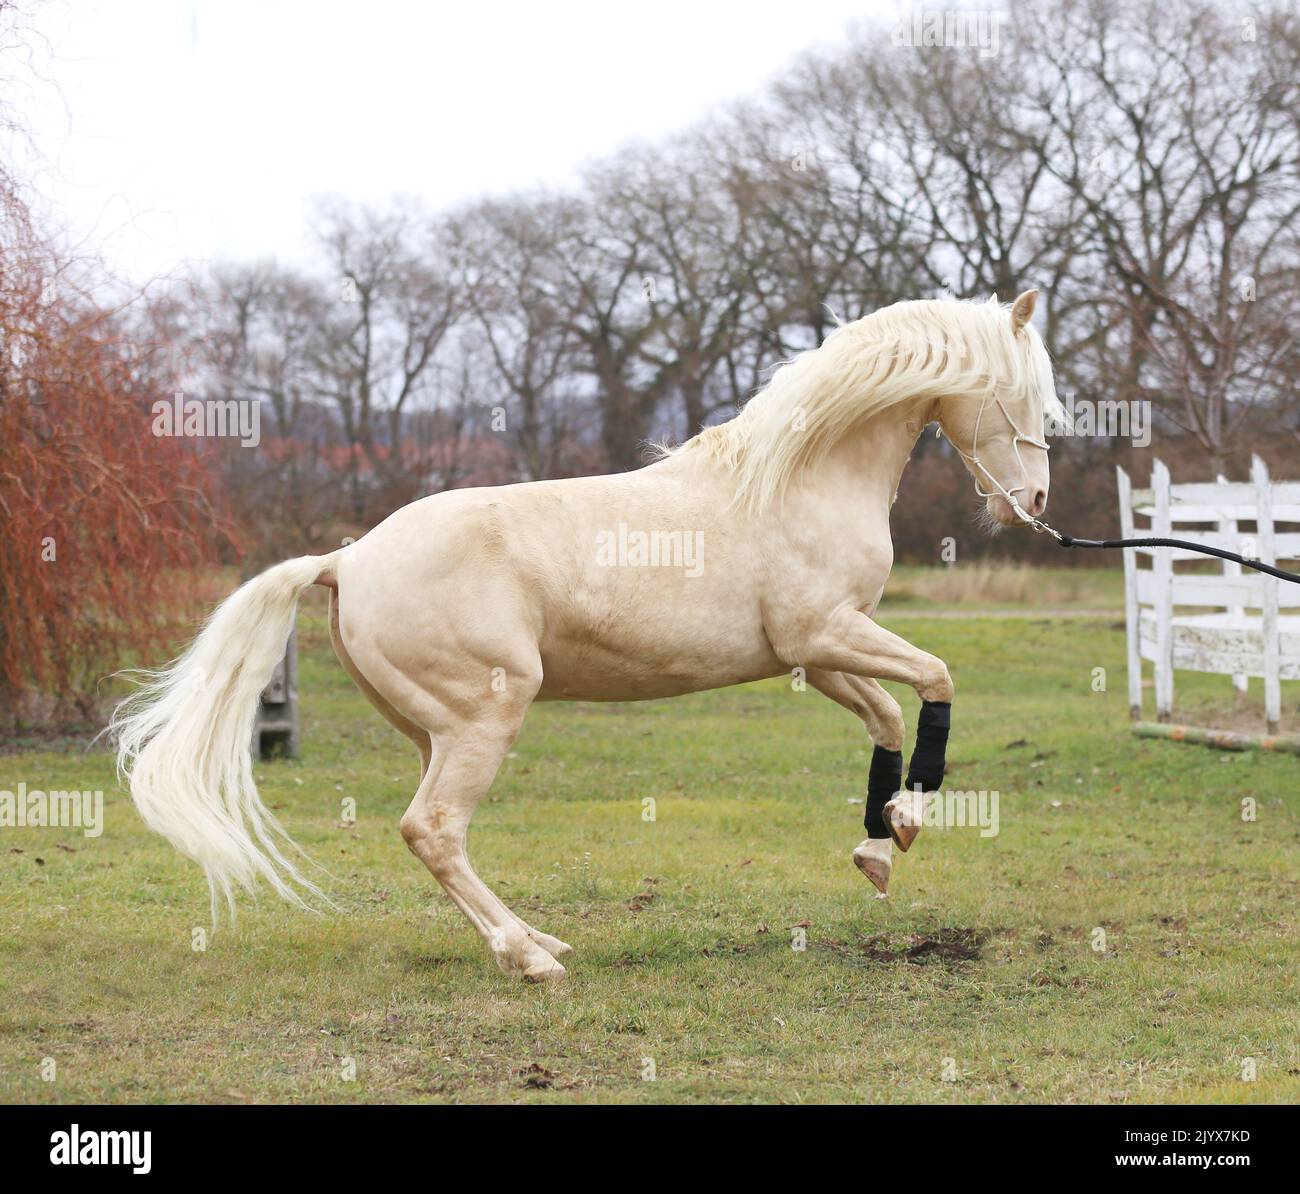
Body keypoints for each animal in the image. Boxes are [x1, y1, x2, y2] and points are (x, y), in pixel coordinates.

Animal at [111, 289, 1060, 982]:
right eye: (1021, 395)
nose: (1036, 504)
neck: (795, 482)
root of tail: (347, 559)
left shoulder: (816, 654)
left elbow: (888, 716)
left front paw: (879, 845)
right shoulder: (825, 633)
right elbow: (934, 680)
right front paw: (908, 819)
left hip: (430, 731)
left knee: (437, 835)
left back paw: (537, 941)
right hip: (483, 719)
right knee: (433, 829)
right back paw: (532, 959)